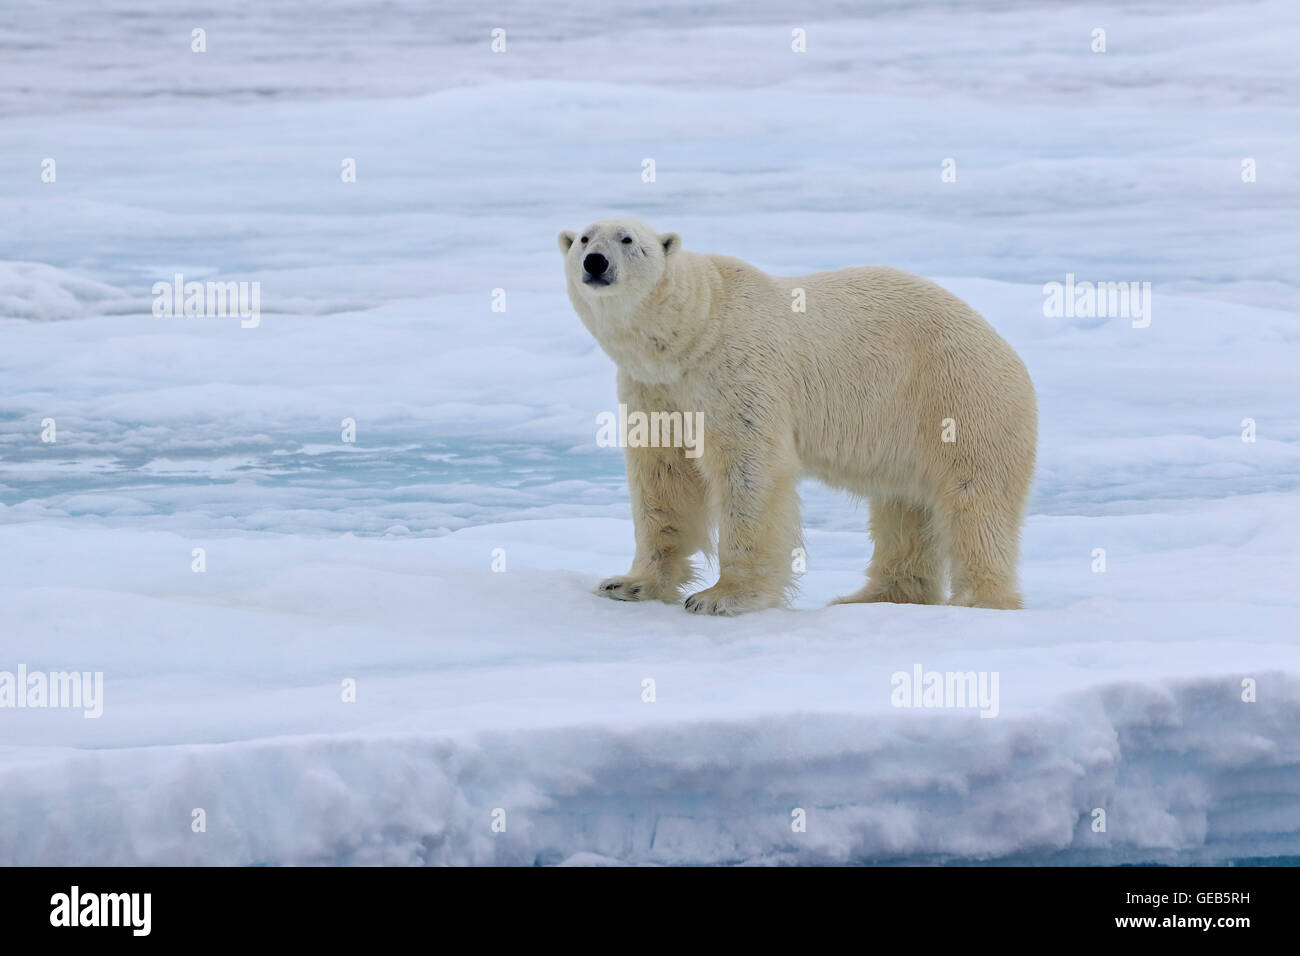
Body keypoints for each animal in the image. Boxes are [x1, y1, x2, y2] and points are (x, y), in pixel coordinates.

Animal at [558, 218, 1037, 615]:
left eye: (627, 239)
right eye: (584, 238)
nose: (595, 262)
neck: (695, 330)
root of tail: (1006, 348)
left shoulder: (739, 367)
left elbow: (749, 469)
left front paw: (722, 597)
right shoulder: (655, 388)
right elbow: (664, 474)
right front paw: (628, 584)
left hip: (958, 396)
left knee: (974, 500)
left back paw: (978, 600)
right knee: (904, 508)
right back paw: (874, 596)